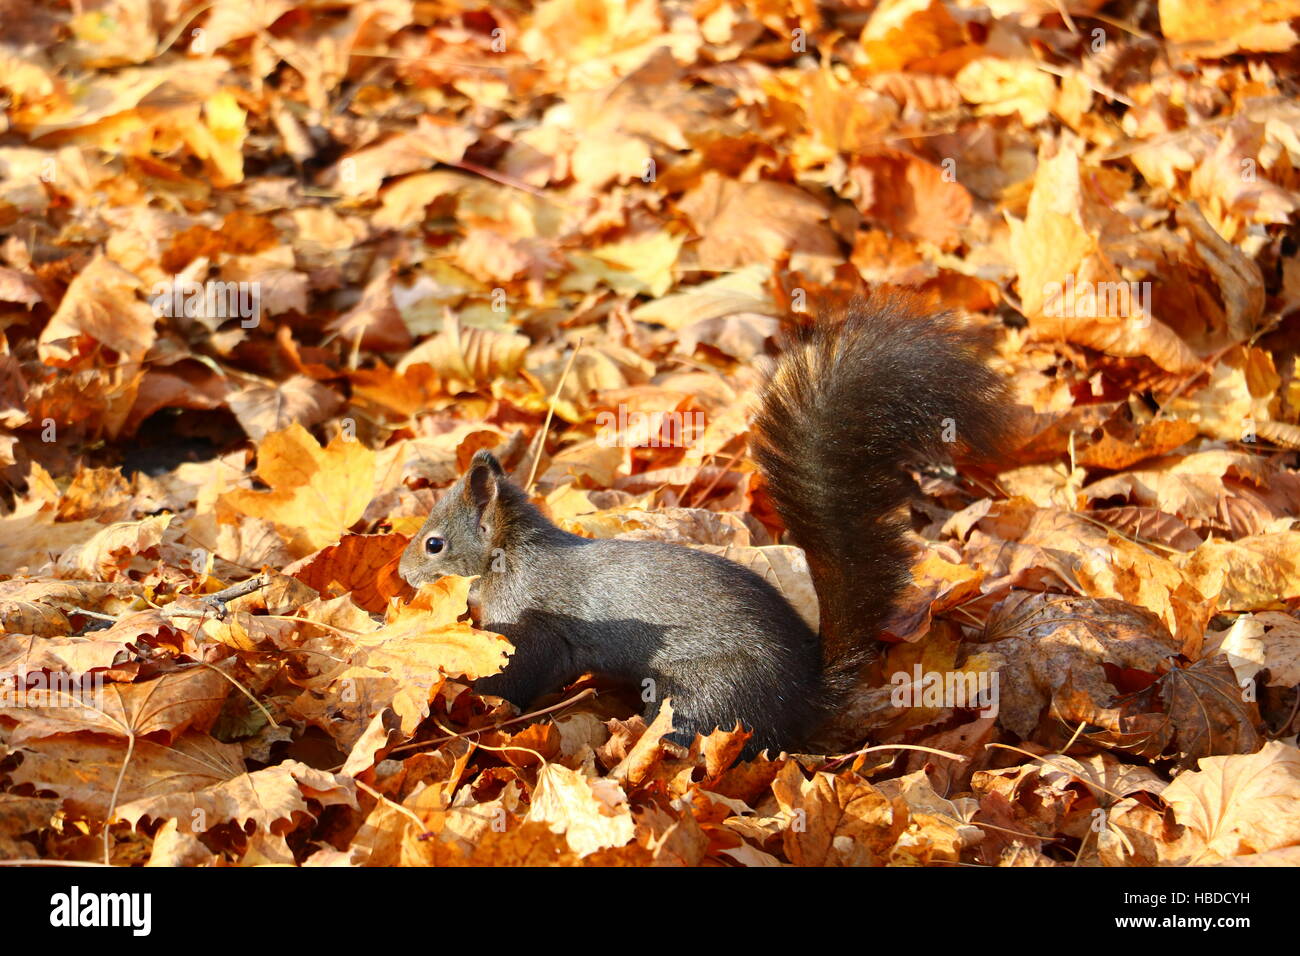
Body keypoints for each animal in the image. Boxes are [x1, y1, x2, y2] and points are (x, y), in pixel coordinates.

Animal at [398, 295, 1013, 757]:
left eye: (434, 544)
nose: (402, 574)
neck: (511, 557)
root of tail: (806, 695)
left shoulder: (535, 628)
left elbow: (523, 675)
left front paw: (478, 700)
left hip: (699, 695)